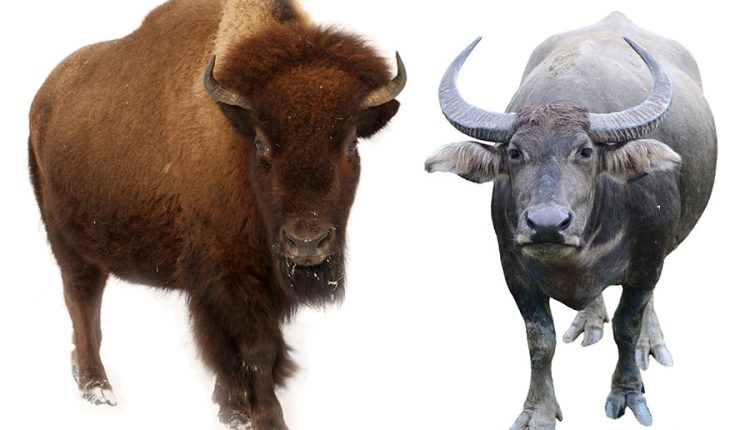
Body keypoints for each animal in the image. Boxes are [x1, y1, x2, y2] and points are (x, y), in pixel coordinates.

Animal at [28, 0, 405, 429]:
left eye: (351, 144)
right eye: (262, 144)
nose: (306, 242)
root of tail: (43, 100)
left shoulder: (253, 281)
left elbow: (231, 348)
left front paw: (232, 408)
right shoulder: (226, 271)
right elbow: (256, 348)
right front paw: (265, 418)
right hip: (67, 244)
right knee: (82, 302)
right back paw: (98, 388)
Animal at [426, 12, 715, 428]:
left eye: (586, 151)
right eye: (515, 152)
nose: (547, 224)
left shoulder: (648, 259)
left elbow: (627, 325)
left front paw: (628, 392)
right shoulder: (513, 269)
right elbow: (539, 340)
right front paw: (538, 411)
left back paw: (651, 341)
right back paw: (590, 320)